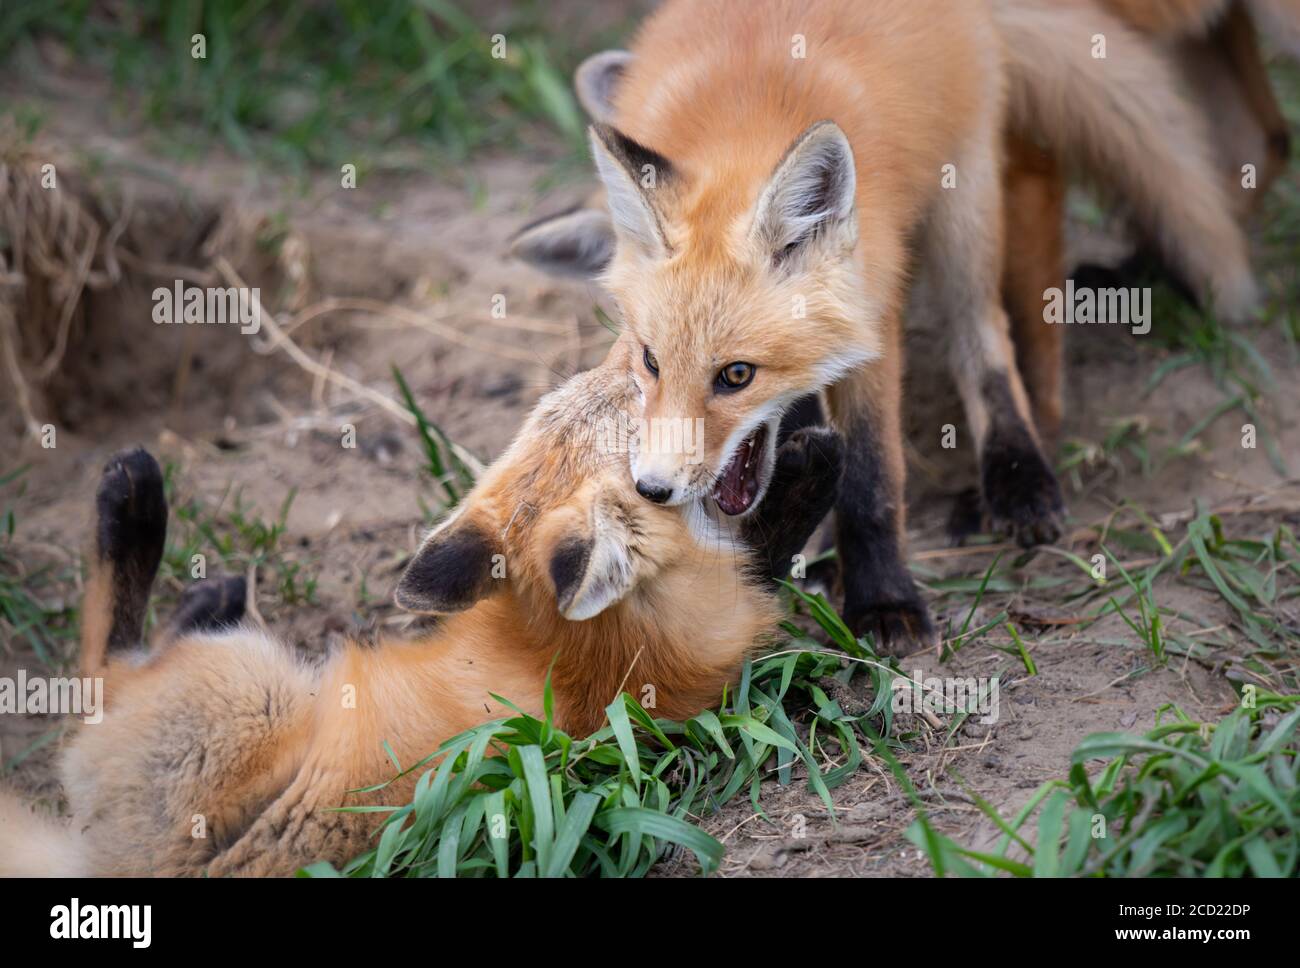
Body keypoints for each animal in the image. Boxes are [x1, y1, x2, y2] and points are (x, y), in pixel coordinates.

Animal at [0, 334, 844, 877]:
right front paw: (813, 459)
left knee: (112, 673)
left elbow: (763, 551)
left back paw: (195, 576)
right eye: (639, 383)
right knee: (100, 667)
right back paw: (137, 499)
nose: (642, 333)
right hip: (253, 687)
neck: (588, 654)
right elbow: (768, 547)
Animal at [509, 0, 1260, 651]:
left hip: (968, 196)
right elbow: (809, 435)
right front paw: (812, 546)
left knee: (987, 340)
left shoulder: (874, 318)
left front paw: (881, 600)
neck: (742, 126)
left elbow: (873, 478)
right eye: (651, 362)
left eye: (736, 375)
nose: (654, 489)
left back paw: (1019, 476)